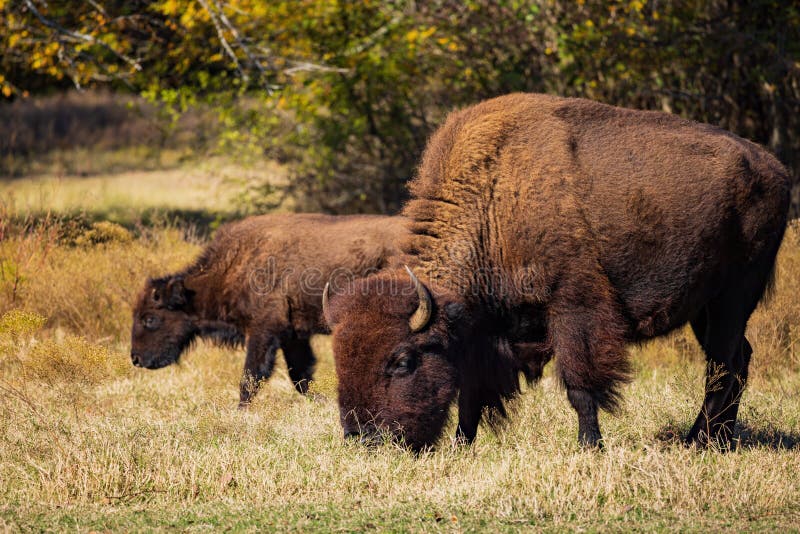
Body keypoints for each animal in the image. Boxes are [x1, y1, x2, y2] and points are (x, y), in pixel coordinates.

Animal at [131, 213, 406, 406]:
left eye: (149, 318)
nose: (136, 359)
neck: (235, 264)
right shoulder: (293, 336)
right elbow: (300, 375)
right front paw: (321, 401)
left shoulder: (263, 330)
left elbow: (252, 375)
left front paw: (241, 409)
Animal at [324, 93, 791, 450]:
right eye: (340, 356)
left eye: (402, 361)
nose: (363, 438)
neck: (494, 199)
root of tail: (778, 170)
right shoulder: (482, 333)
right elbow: (472, 393)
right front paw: (462, 445)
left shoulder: (574, 307)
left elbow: (579, 385)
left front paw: (589, 446)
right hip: (703, 308)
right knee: (738, 361)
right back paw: (719, 440)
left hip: (734, 296)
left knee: (723, 365)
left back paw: (699, 441)